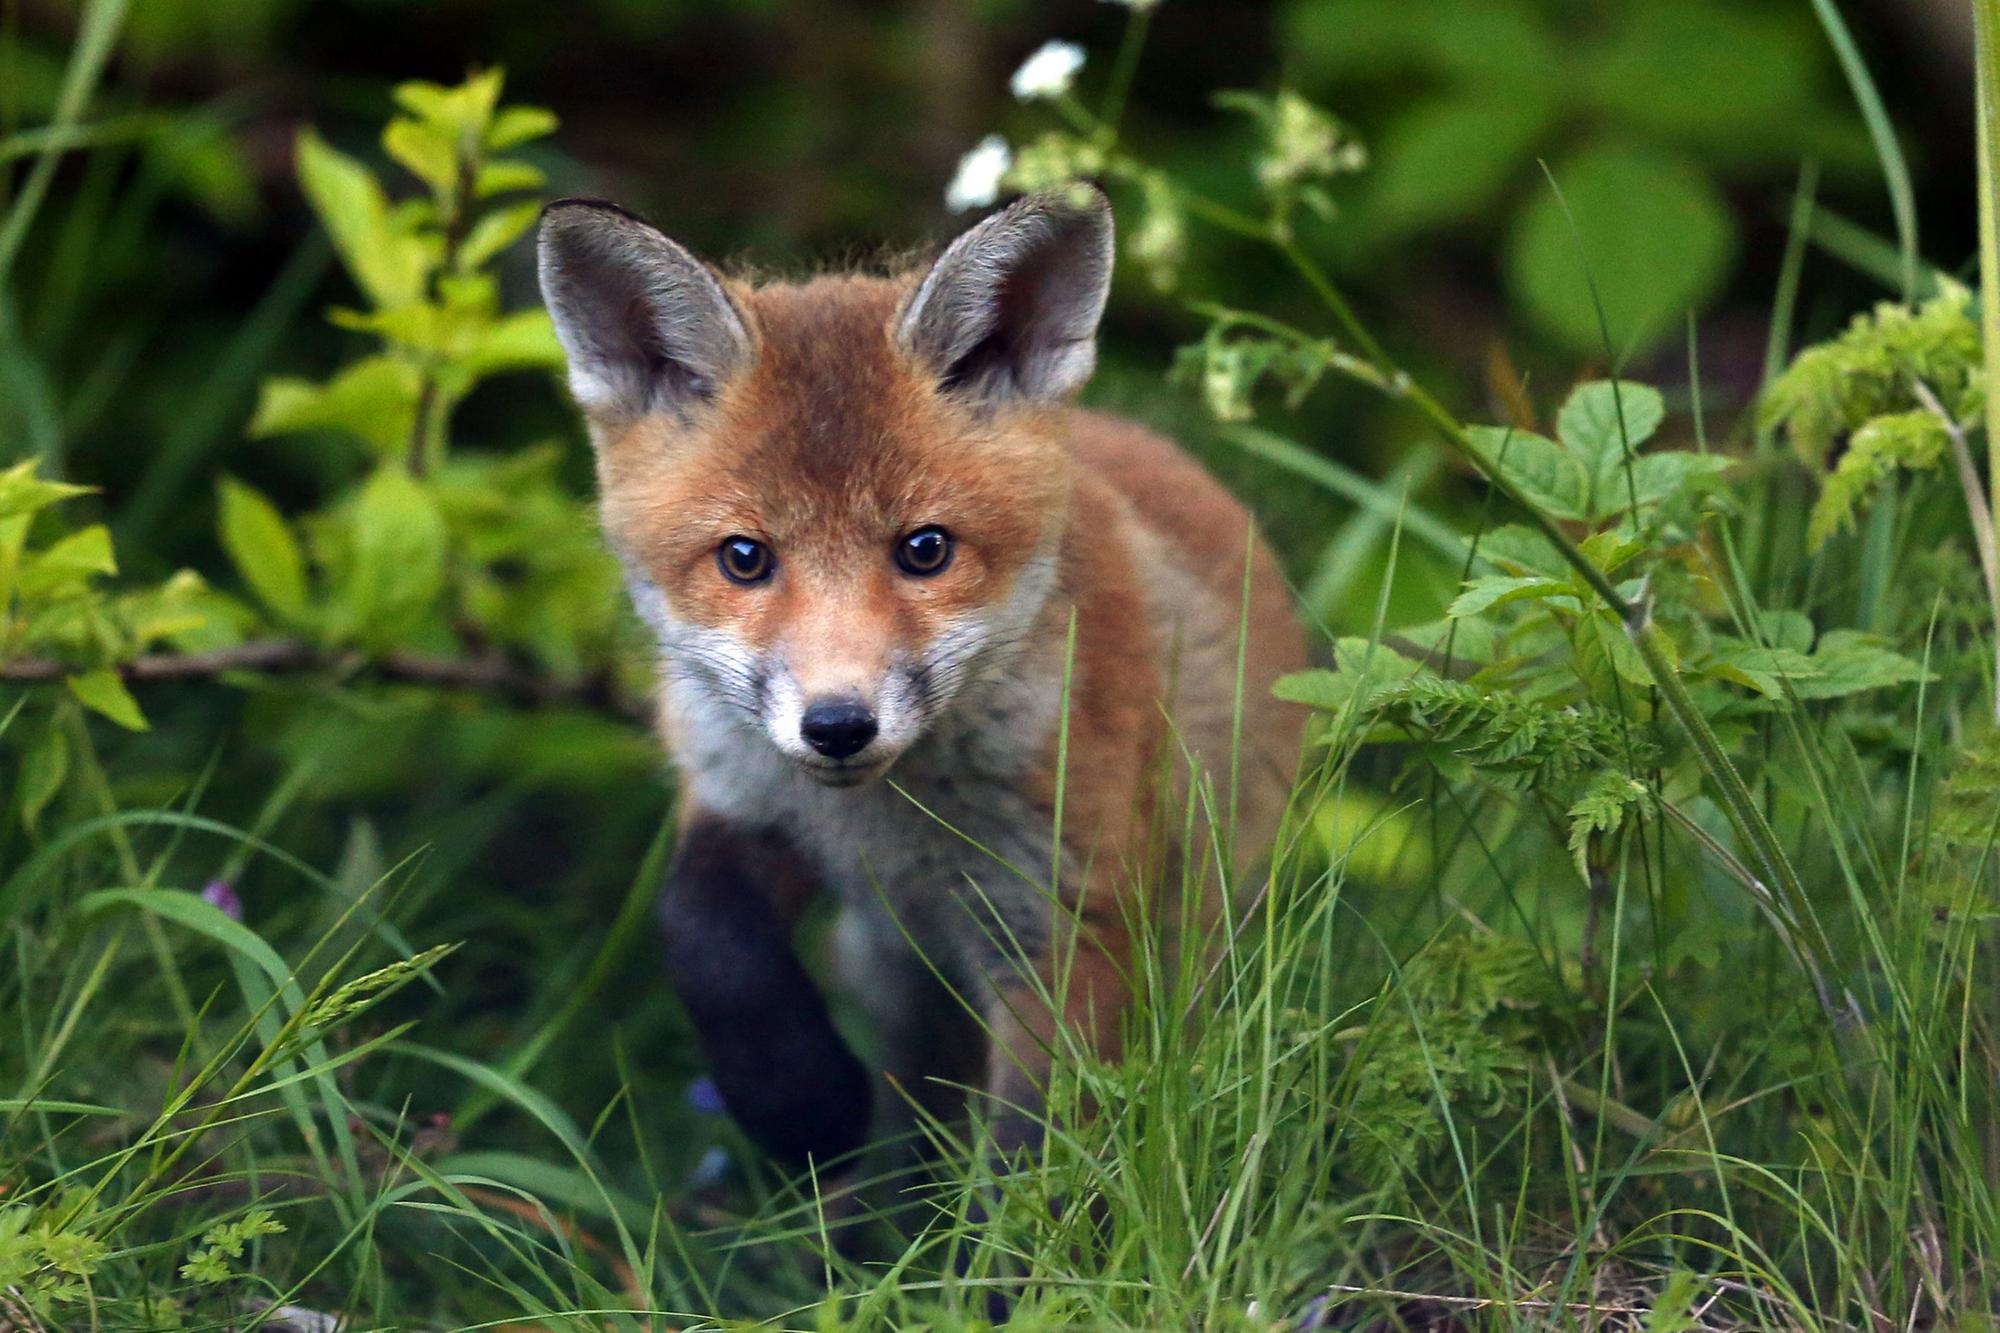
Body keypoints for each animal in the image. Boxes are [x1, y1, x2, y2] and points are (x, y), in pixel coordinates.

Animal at [535, 185, 1308, 1177]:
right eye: (744, 558)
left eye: (925, 549)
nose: (837, 725)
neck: (886, 828)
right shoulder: (737, 795)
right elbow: (703, 936)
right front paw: (801, 1104)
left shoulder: (1070, 913)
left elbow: (1033, 1151)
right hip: (892, 970)